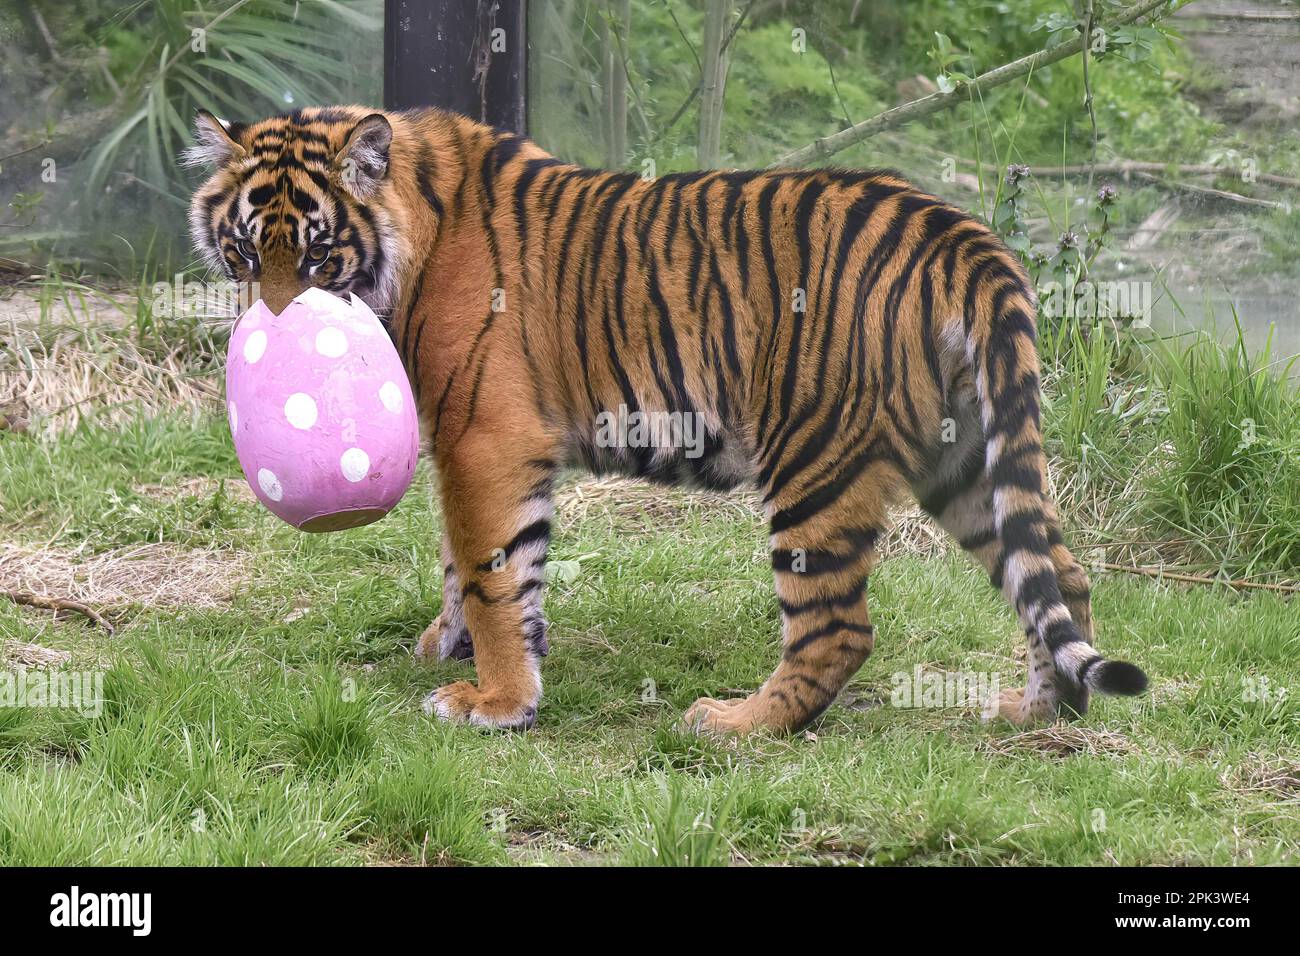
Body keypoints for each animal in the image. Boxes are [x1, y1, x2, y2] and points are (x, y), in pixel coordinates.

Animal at [187, 105, 1148, 734]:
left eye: (317, 256)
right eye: (246, 252)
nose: (274, 330)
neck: (412, 232)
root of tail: (956, 232)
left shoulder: (484, 436)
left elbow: (491, 569)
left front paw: (496, 701)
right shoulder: (483, 448)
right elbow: (474, 564)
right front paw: (455, 648)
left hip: (816, 458)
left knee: (838, 629)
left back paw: (734, 724)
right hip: (967, 459)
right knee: (1059, 574)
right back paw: (1040, 712)